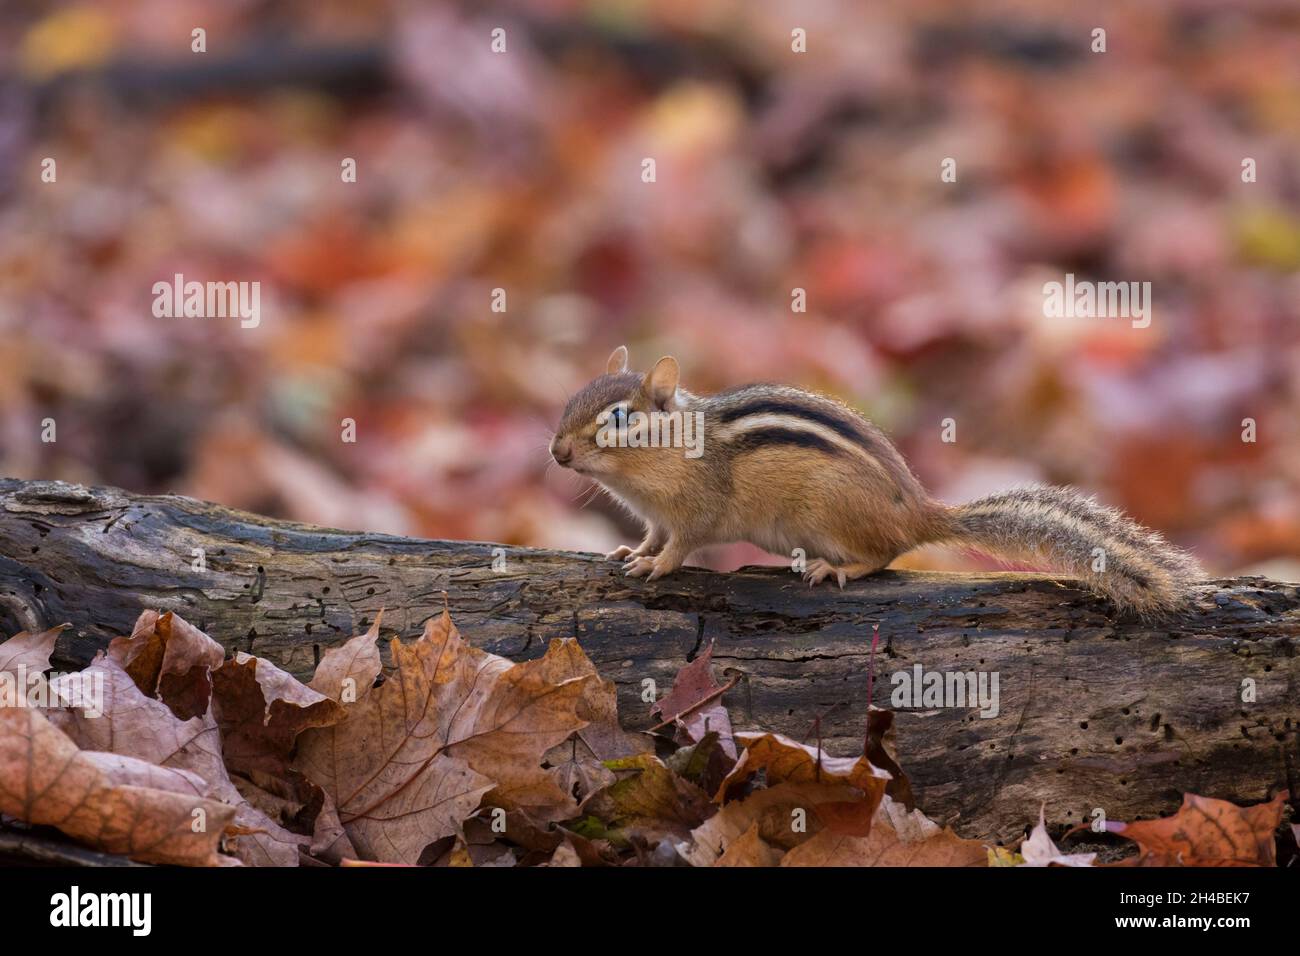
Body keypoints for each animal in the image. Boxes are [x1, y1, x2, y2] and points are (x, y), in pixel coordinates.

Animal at [549, 346, 1202, 617]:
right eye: (572, 397)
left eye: (618, 419)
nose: (556, 452)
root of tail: (920, 510)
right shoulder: (657, 515)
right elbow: (653, 536)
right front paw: (629, 551)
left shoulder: (695, 510)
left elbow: (683, 545)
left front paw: (656, 568)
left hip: (830, 515)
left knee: (882, 555)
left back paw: (833, 569)